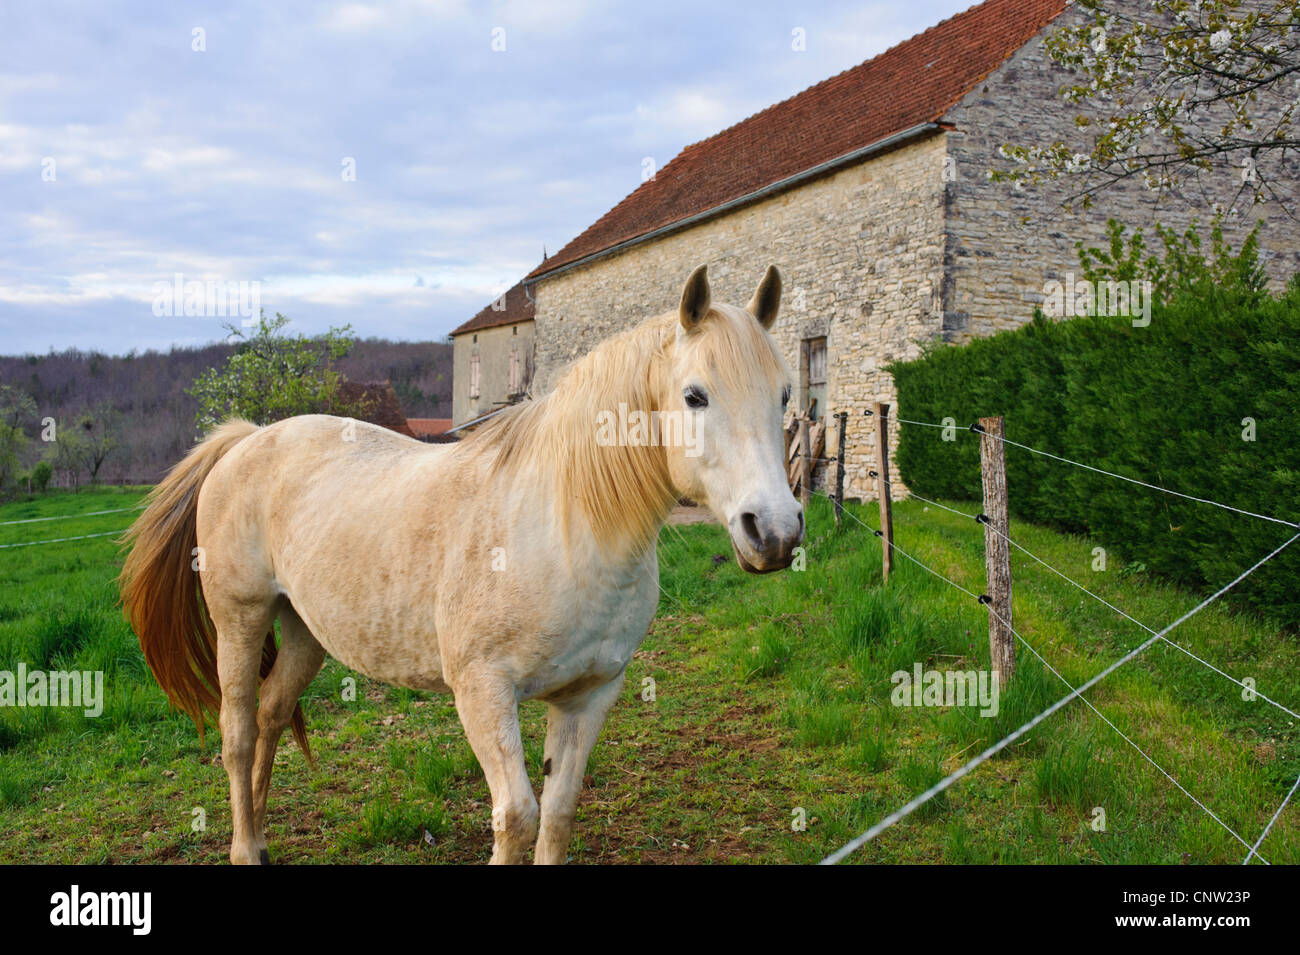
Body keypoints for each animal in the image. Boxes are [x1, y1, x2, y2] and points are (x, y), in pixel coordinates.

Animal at [119, 264, 803, 864]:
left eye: (785, 393)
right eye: (695, 395)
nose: (774, 532)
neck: (565, 530)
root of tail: (246, 439)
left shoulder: (588, 697)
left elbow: (558, 813)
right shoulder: (483, 692)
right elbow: (518, 817)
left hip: (305, 630)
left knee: (269, 718)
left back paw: (261, 843)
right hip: (240, 619)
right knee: (237, 736)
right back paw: (242, 848)